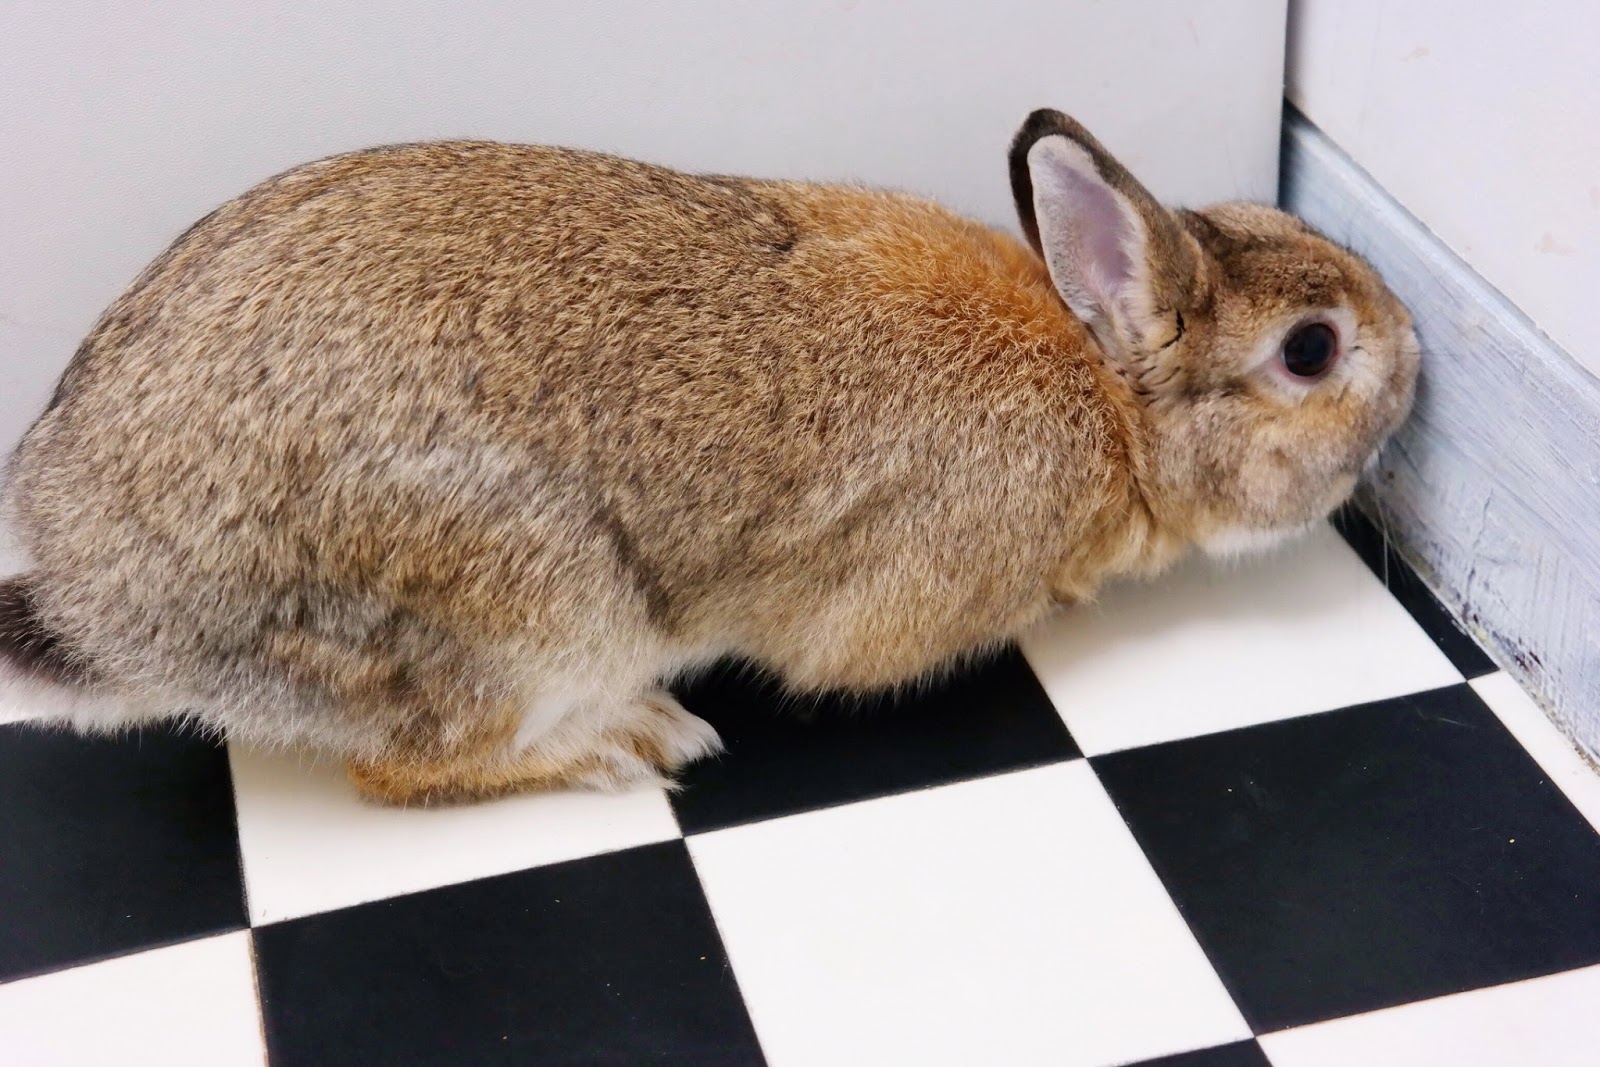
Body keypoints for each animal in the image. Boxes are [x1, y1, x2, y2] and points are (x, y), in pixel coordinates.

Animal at [0, 109, 1420, 804]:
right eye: (1310, 350)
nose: (1416, 359)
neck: (1110, 405)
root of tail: (104, 610)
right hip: (529, 608)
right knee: (402, 765)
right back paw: (632, 743)